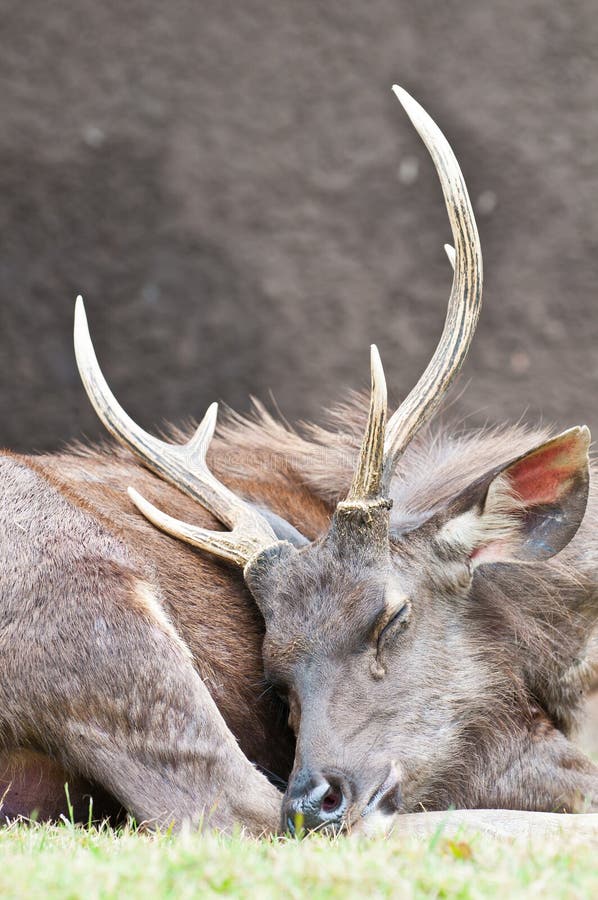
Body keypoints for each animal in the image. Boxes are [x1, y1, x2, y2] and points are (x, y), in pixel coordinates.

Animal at [1, 85, 598, 840]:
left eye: (392, 618)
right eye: (276, 678)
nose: (317, 799)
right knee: (228, 805)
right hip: (93, 604)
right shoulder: (488, 743)